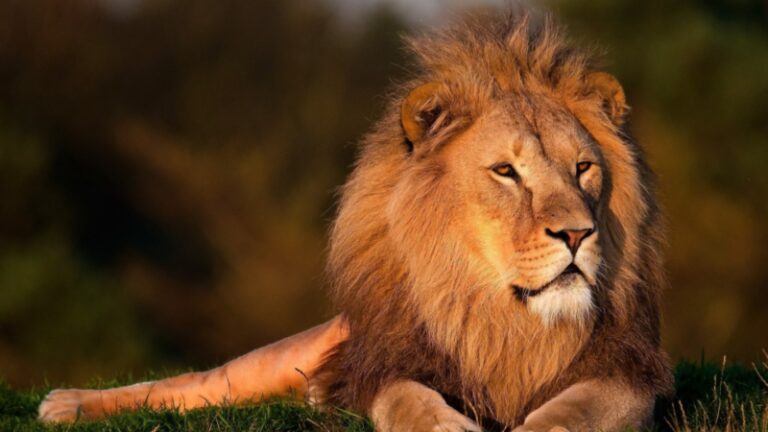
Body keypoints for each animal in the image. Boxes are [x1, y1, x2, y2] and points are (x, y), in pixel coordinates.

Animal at [38, 11, 673, 431]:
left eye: (583, 168)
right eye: (505, 172)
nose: (577, 234)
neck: (500, 317)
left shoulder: (627, 372)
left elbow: (578, 407)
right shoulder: (386, 363)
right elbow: (407, 398)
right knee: (197, 384)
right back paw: (66, 403)